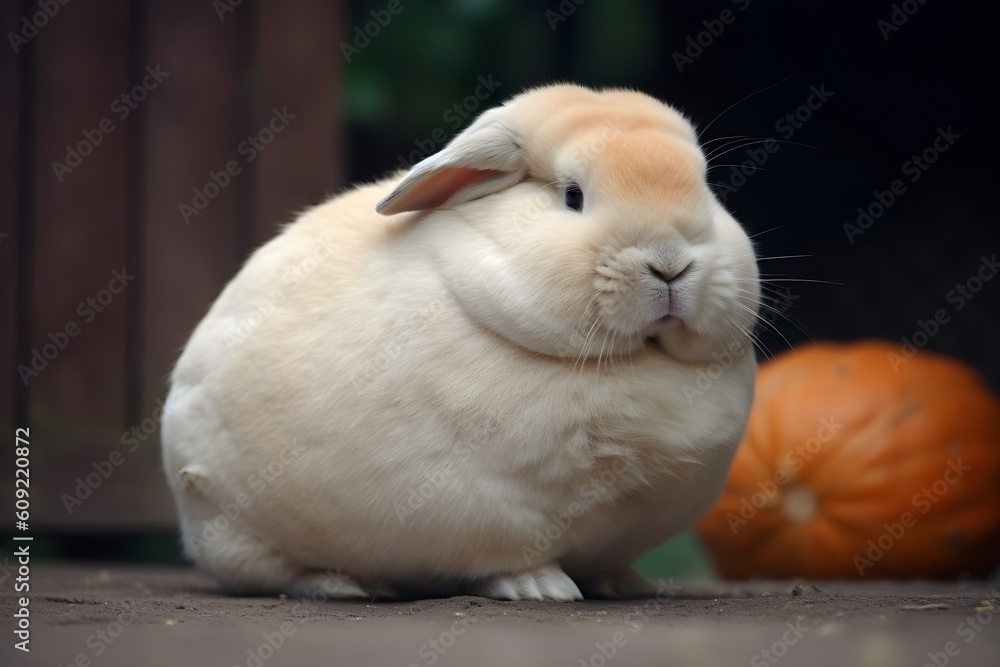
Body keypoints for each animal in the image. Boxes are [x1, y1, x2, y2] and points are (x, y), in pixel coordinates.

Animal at [161, 83, 760, 601]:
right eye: (573, 196)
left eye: (705, 186)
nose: (670, 263)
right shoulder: (495, 514)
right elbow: (508, 561)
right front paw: (542, 588)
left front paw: (625, 582)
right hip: (234, 524)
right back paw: (346, 584)